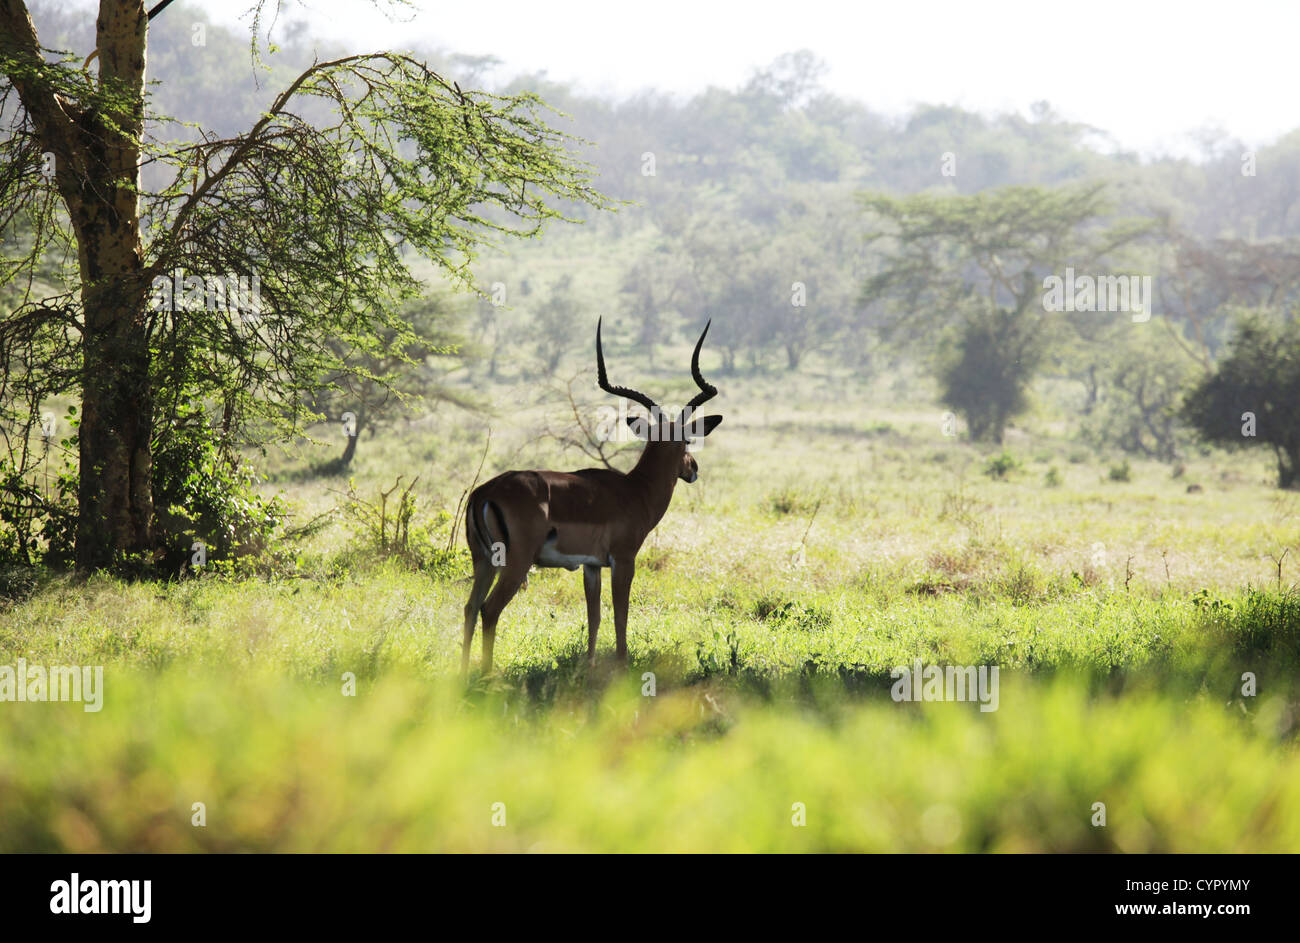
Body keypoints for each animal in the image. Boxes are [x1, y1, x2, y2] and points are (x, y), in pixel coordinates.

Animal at [461, 318, 723, 673]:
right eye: (686, 441)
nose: (693, 468)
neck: (634, 490)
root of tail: (485, 492)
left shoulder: (592, 566)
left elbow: (594, 617)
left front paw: (588, 666)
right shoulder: (624, 560)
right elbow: (620, 616)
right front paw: (622, 666)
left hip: (484, 560)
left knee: (470, 608)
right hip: (515, 562)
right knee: (489, 609)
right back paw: (487, 676)